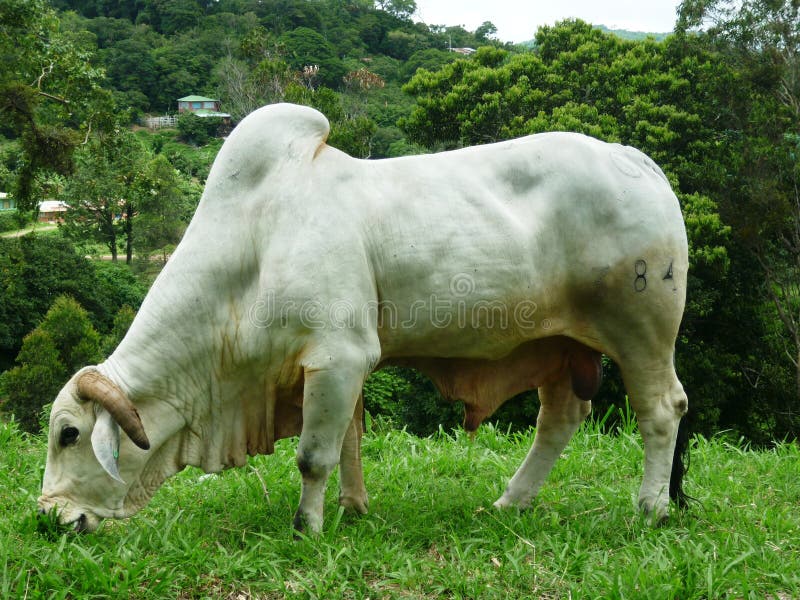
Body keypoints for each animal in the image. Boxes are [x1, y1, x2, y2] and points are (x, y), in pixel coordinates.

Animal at [38, 103, 689, 535]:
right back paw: (511, 503)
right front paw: (352, 510)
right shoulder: (337, 366)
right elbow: (348, 441)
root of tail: (637, 160)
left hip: (643, 330)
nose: (49, 518)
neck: (253, 248)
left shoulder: (338, 357)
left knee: (662, 410)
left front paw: (307, 527)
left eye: (69, 434)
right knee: (561, 419)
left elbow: (313, 454)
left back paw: (651, 508)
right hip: (560, 345)